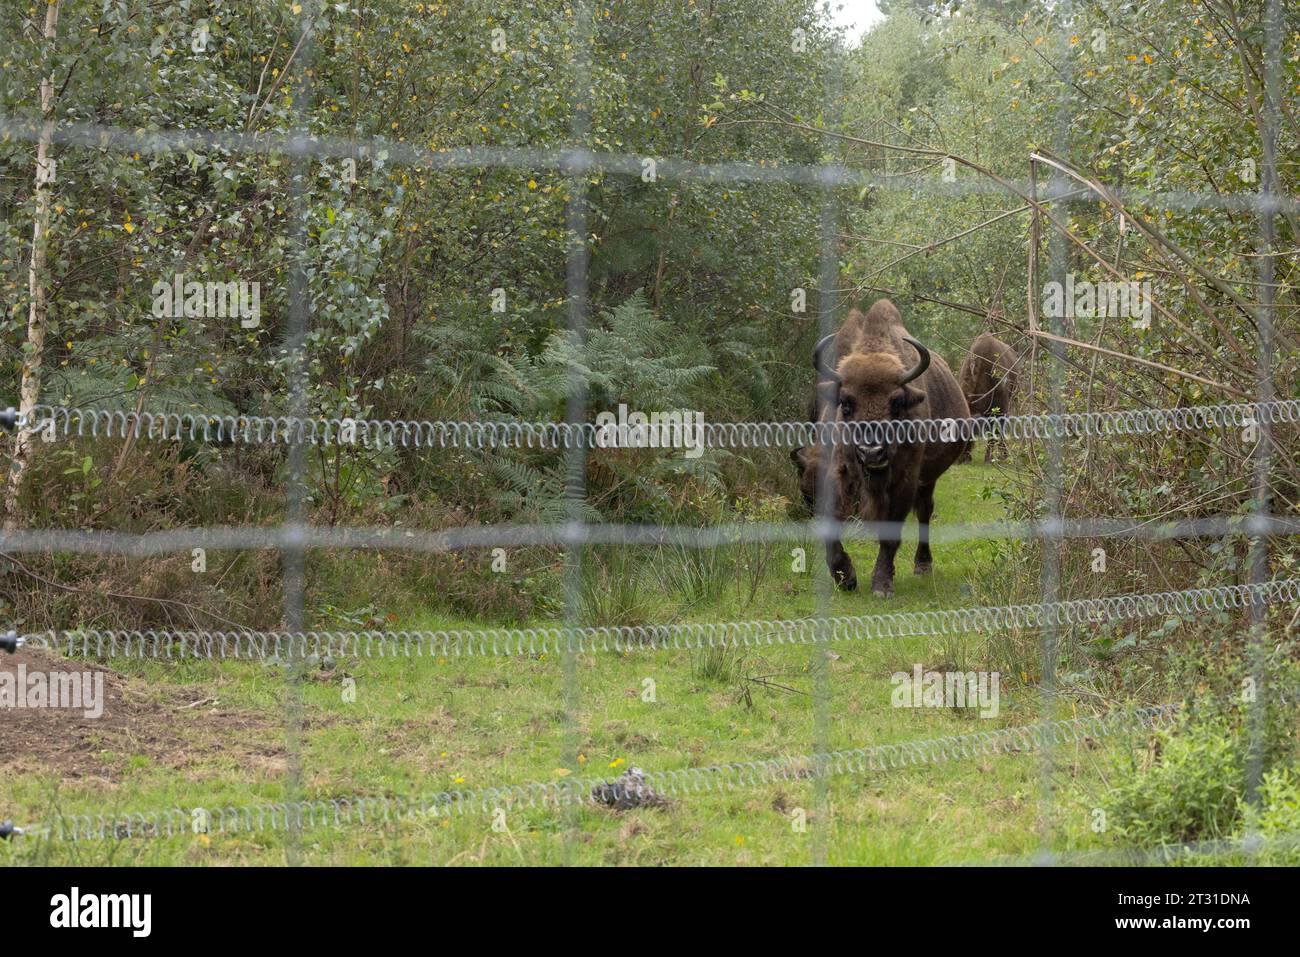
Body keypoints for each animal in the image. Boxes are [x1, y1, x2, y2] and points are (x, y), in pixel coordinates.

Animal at [791, 300, 969, 597]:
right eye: (845, 403)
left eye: (896, 403)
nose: (872, 452)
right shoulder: (837, 474)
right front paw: (846, 578)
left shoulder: (905, 481)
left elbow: (891, 534)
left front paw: (882, 585)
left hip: (928, 479)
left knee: (925, 511)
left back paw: (922, 565)